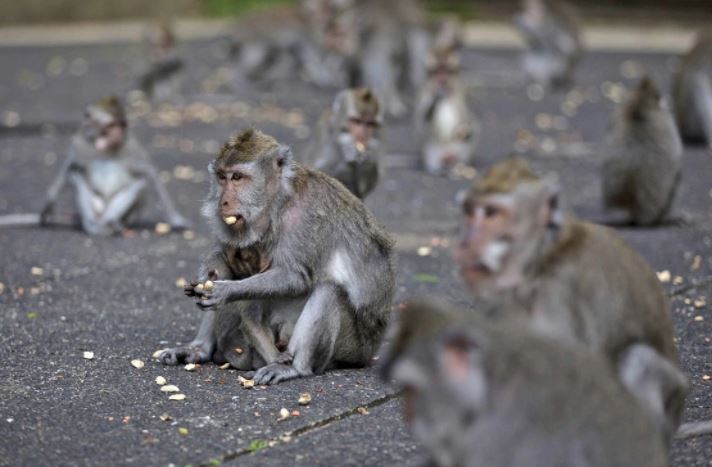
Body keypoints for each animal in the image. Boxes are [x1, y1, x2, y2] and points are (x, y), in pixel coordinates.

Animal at [39, 96, 190, 235]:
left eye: (122, 124)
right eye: (111, 125)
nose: (119, 133)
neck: (105, 150)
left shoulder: (132, 148)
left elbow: (149, 172)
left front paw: (176, 219)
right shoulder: (78, 145)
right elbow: (68, 167)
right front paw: (46, 209)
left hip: (125, 216)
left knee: (140, 184)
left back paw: (111, 222)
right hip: (98, 208)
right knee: (76, 177)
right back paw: (92, 224)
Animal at [160, 129, 396, 385]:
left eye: (237, 177)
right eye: (222, 177)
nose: (223, 202)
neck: (279, 201)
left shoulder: (303, 217)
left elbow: (294, 276)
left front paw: (225, 290)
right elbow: (222, 256)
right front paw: (208, 276)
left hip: (352, 348)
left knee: (329, 292)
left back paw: (294, 368)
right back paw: (200, 349)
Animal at [415, 24, 479, 176]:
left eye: (446, 70)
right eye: (437, 71)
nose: (441, 80)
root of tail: (447, 153)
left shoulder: (461, 90)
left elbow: (468, 118)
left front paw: (467, 129)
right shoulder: (424, 90)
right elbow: (421, 123)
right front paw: (435, 98)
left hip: (459, 149)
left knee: (466, 146)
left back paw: (458, 165)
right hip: (435, 149)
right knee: (430, 151)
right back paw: (437, 169)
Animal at [455, 158, 687, 446]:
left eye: (492, 213)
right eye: (469, 211)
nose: (465, 243)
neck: (542, 259)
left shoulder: (559, 295)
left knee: (639, 359)